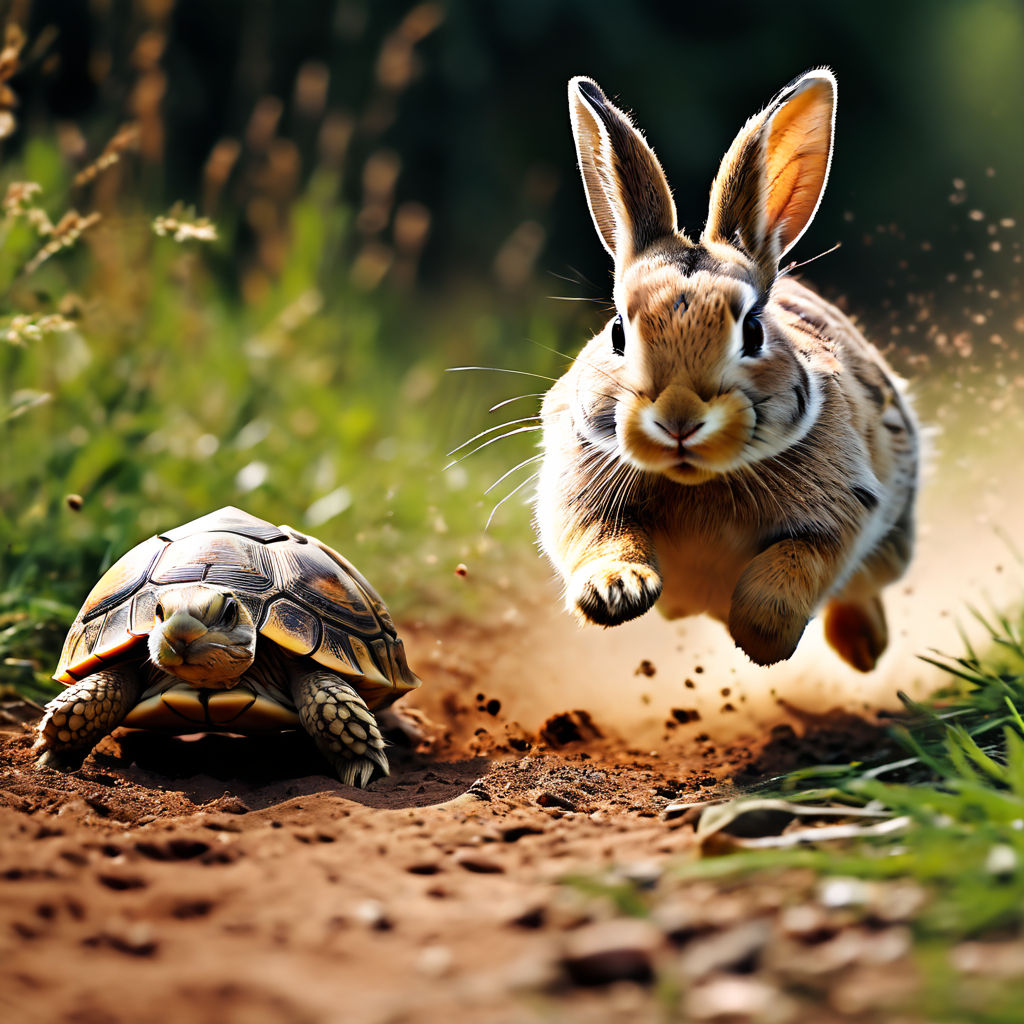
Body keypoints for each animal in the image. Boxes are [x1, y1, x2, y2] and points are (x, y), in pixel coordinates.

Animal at [534, 70, 918, 671]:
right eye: (618, 331)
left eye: (753, 331)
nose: (679, 417)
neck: (696, 478)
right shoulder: (577, 493)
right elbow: (600, 541)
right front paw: (617, 592)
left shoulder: (844, 512)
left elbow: (794, 566)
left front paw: (760, 637)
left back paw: (864, 650)